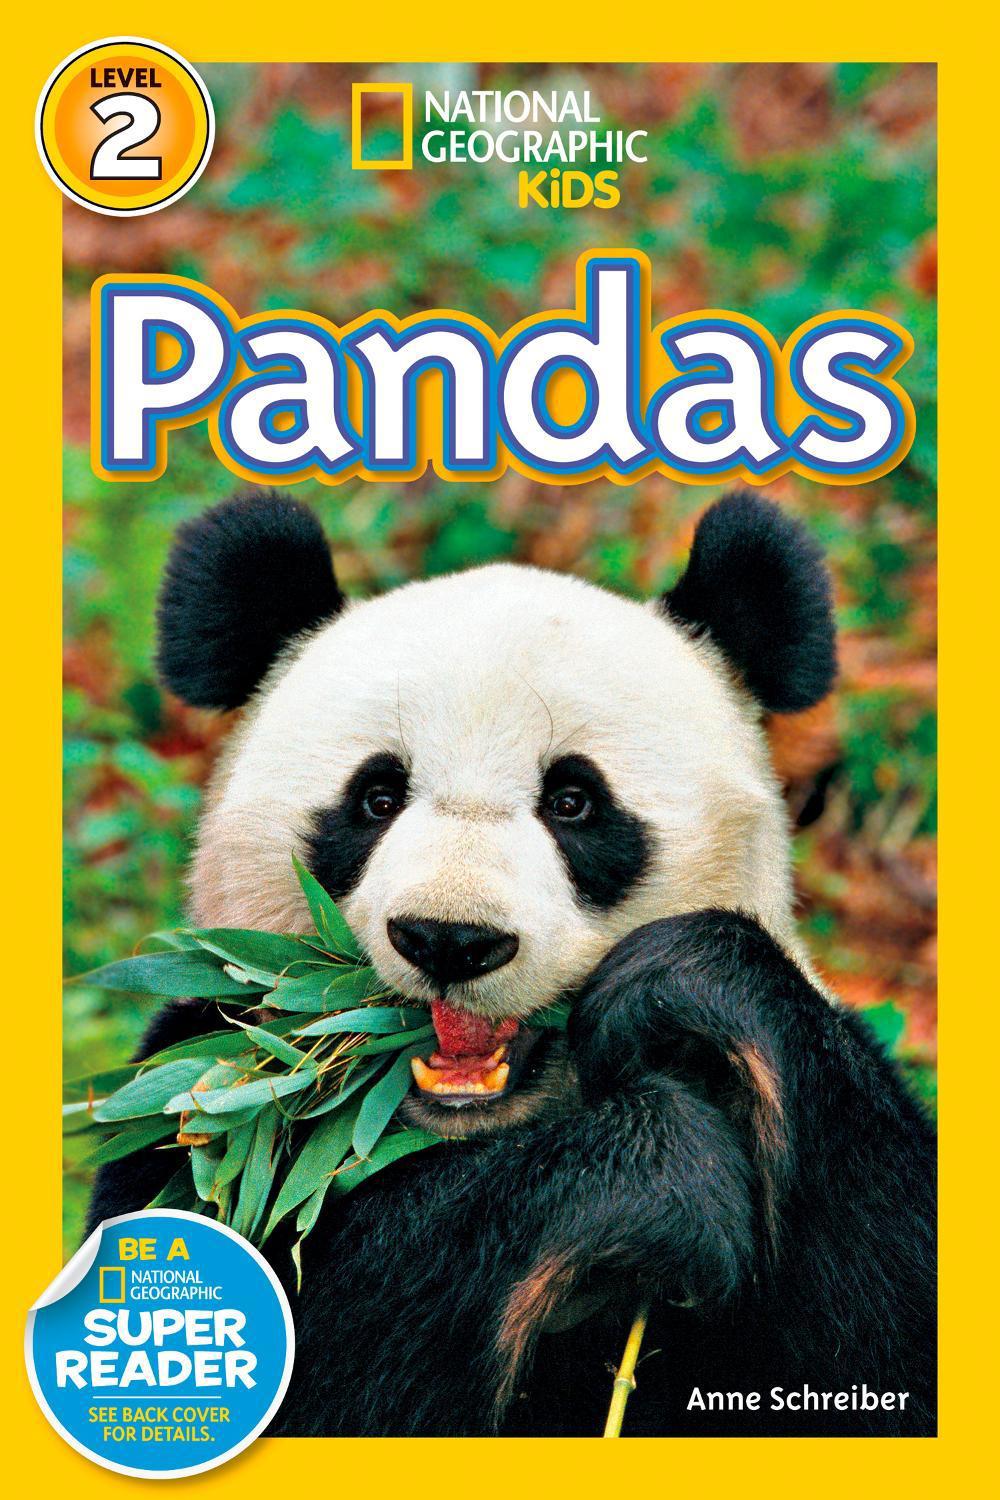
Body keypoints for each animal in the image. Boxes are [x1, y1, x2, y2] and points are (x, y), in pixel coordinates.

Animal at [87, 490, 936, 1437]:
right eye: (376, 797)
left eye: (573, 801)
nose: (449, 938)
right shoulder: (205, 1108)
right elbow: (310, 1353)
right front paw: (655, 1169)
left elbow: (890, 1325)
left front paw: (687, 986)